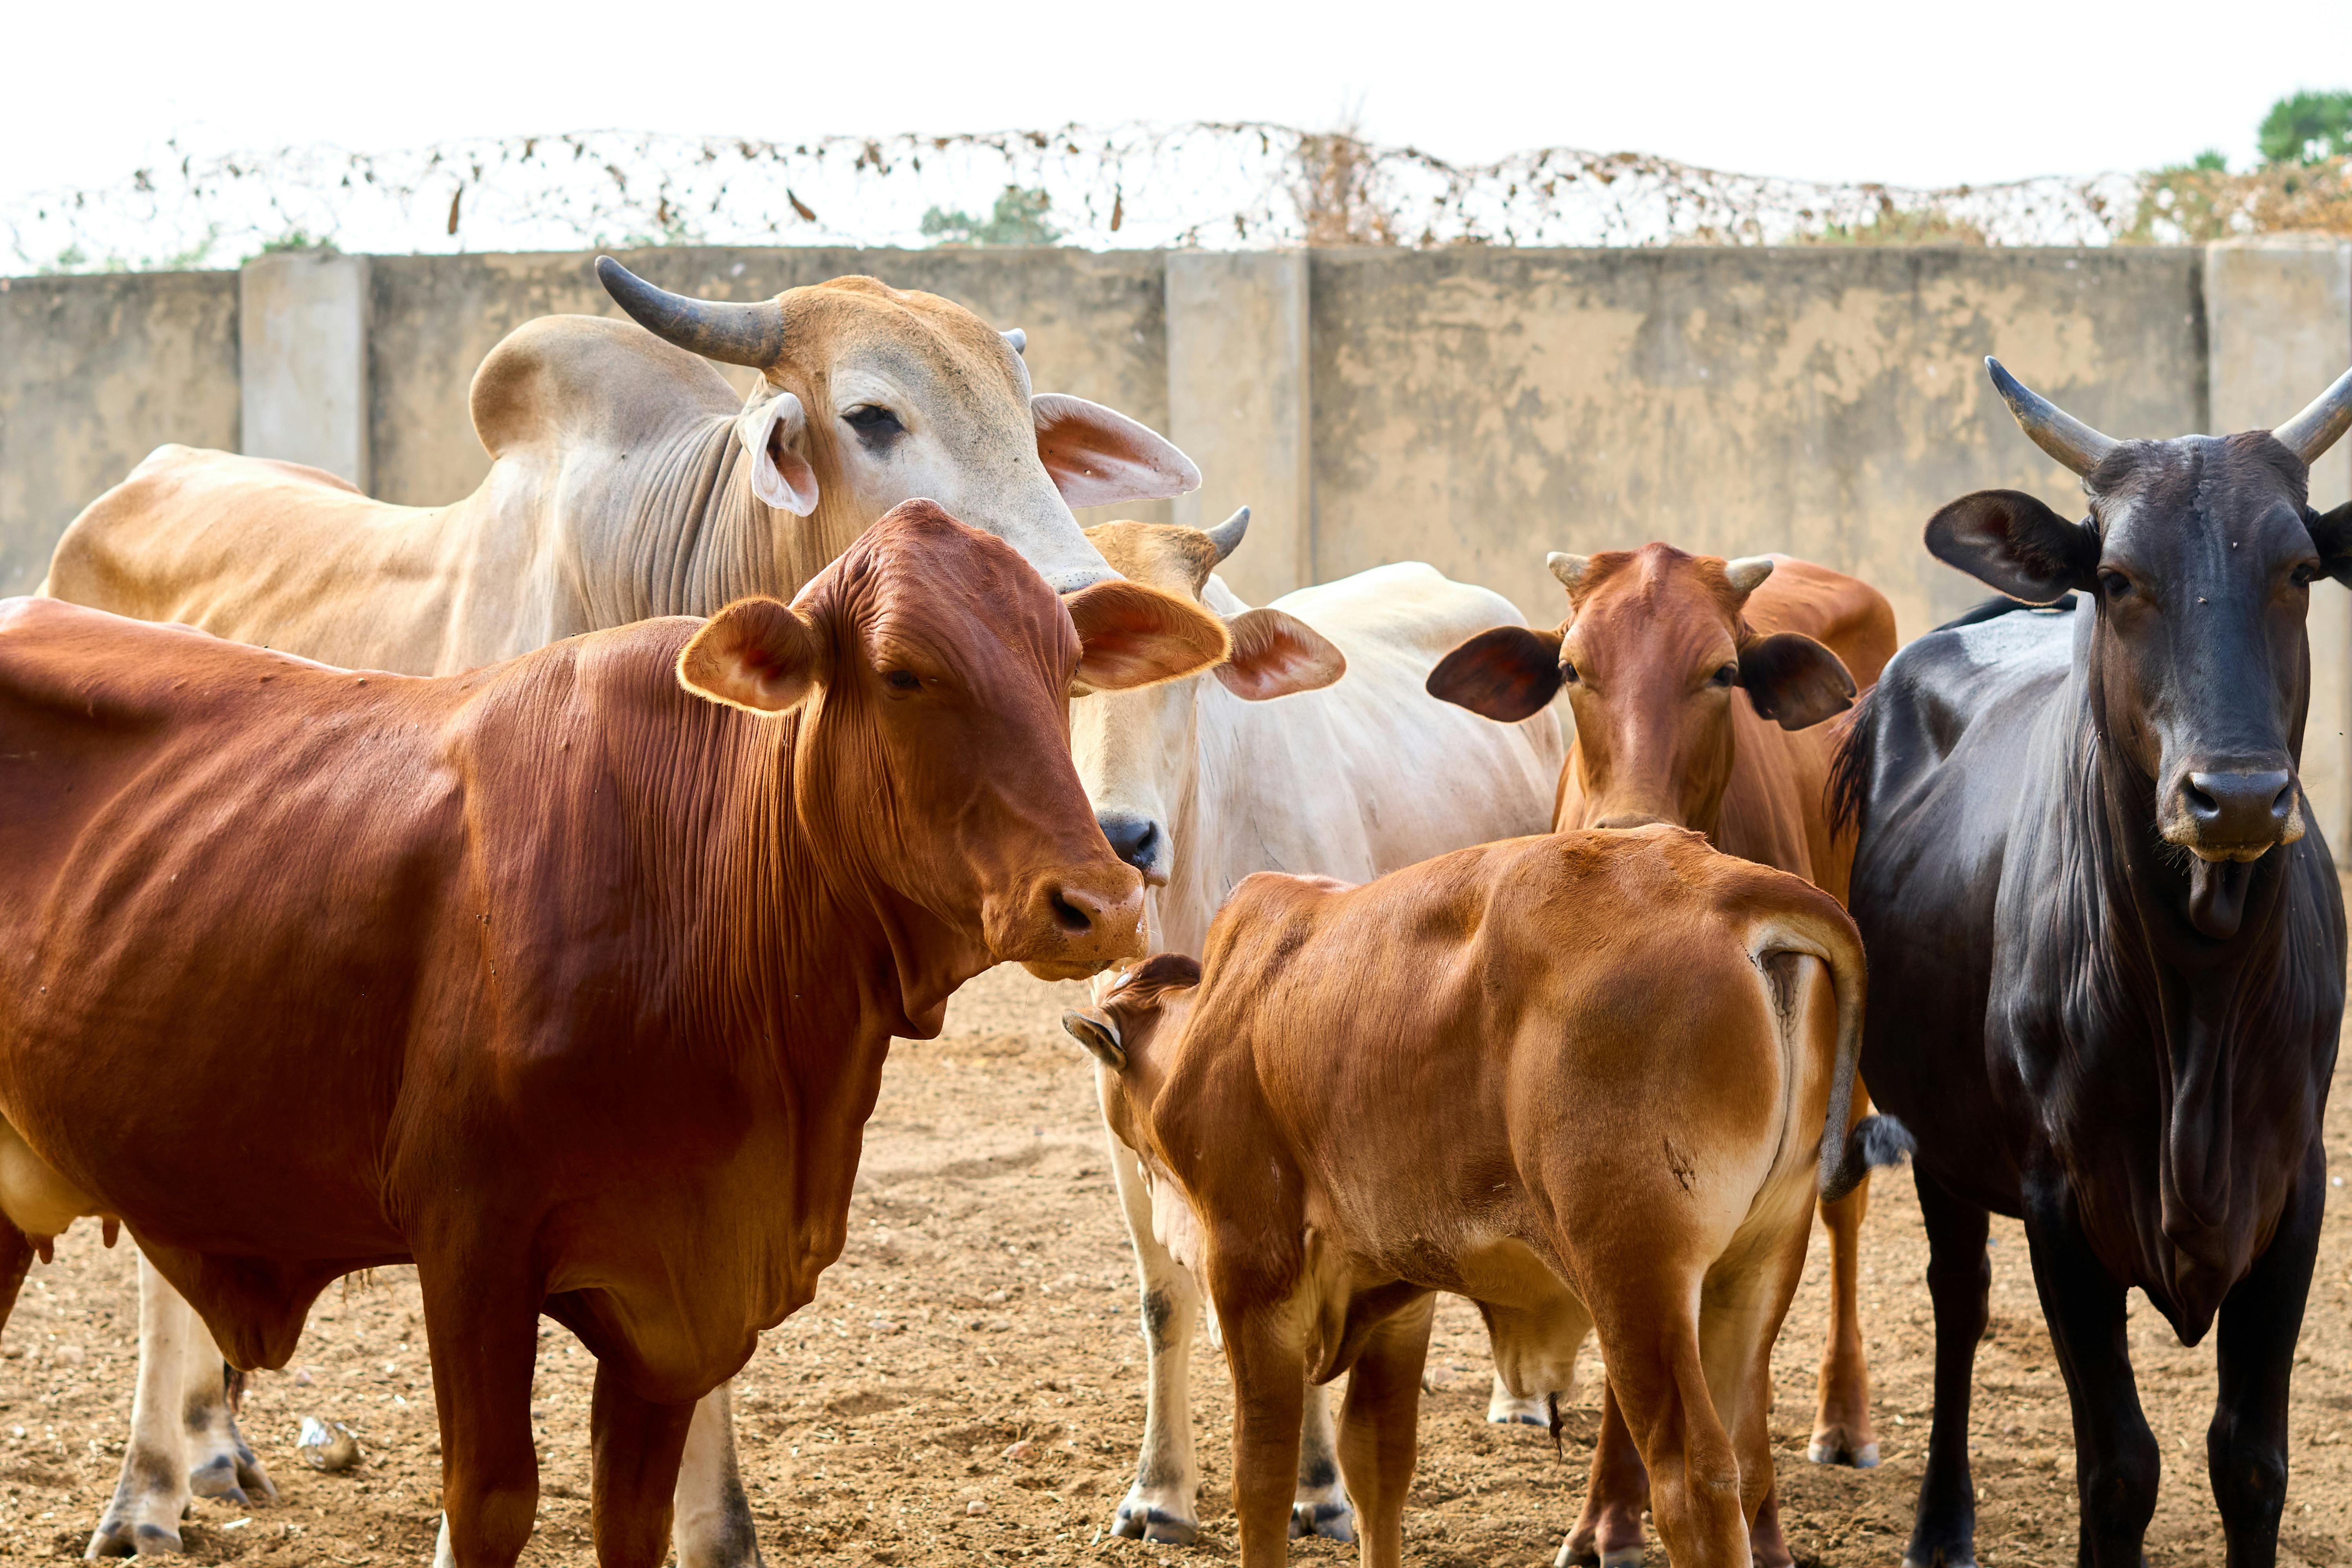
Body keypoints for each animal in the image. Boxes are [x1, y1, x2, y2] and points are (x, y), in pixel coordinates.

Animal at [40, 258, 1205, 1563]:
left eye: (1027, 420)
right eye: (873, 416)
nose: (1079, 604)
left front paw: (716, 1528)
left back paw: (215, 1444)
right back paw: (146, 1489)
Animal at [1061, 824, 1900, 1568]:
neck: (1224, 1014)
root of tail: (1725, 890)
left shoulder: (1251, 1278)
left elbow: (1261, 1482)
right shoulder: (1398, 1297)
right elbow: (1379, 1470)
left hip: (1635, 1278)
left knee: (1694, 1482)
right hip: (1758, 1266)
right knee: (1750, 1466)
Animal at [1067, 509, 1564, 1543]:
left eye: (1192, 673)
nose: (1122, 841)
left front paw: (1321, 1485)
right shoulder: (1117, 1097)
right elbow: (1162, 1299)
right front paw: (1158, 1491)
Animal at [1425, 543, 1897, 1566]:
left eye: (1721, 672)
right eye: (1571, 668)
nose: (1629, 831)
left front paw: (1760, 1523)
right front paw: (1606, 1514)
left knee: (1844, 1217)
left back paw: (1844, 1417)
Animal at [1830, 358, 2352, 1568]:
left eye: (2301, 569)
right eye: (2119, 578)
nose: (2237, 797)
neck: (2201, 986)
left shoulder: (2293, 1188)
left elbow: (2251, 1461)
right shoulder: (2061, 1202)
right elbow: (2119, 1471)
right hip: (1939, 1139)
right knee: (1960, 1299)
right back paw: (1943, 1522)